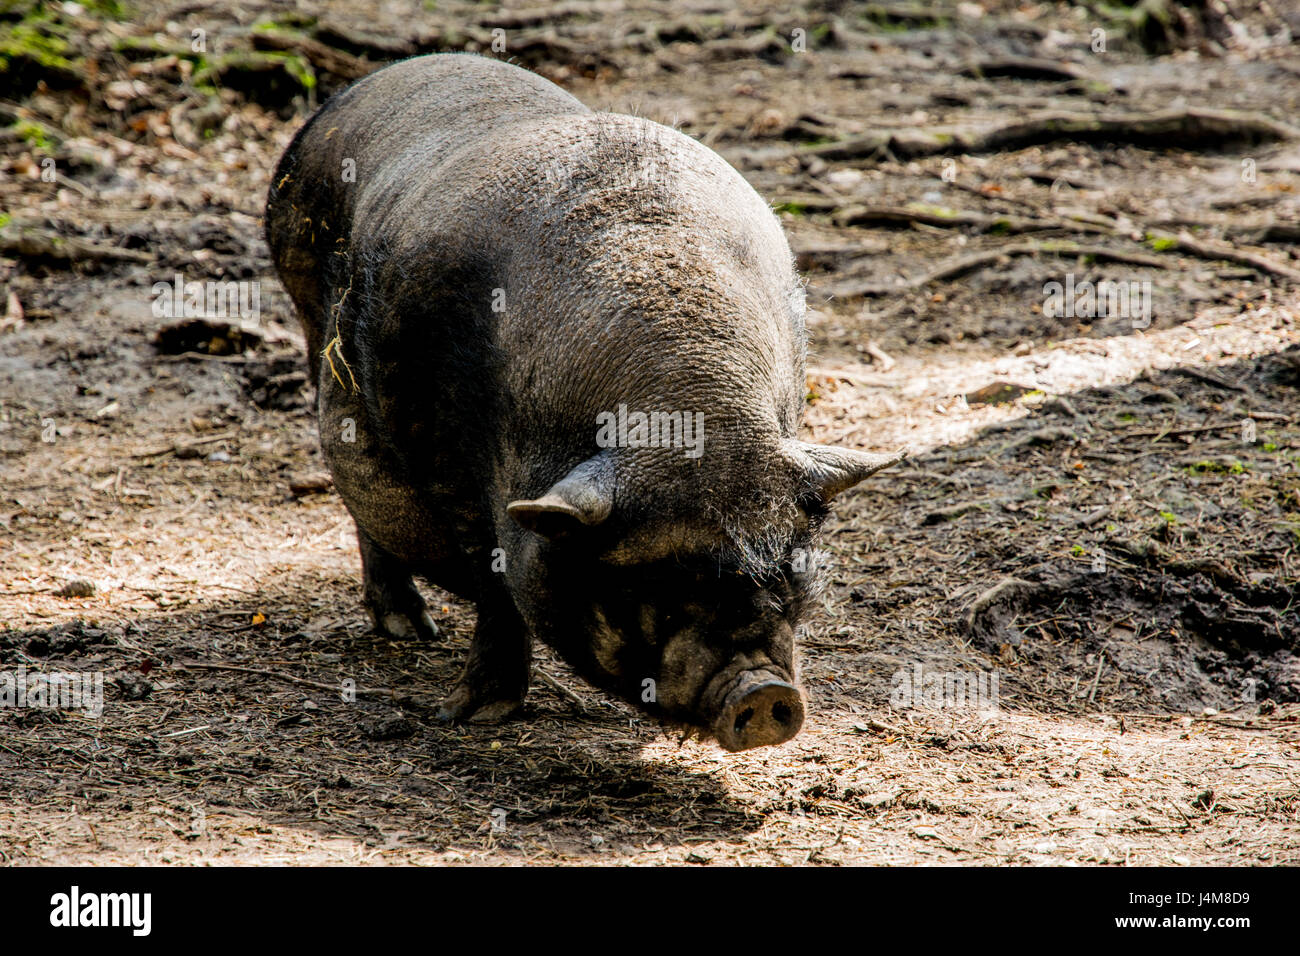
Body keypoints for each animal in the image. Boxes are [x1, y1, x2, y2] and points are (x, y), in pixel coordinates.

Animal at [265, 54, 903, 751]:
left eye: (787, 566)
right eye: (655, 581)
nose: (763, 694)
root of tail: (353, 94)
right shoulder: (451, 467)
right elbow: (494, 585)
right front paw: (470, 716)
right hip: (306, 308)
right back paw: (411, 630)